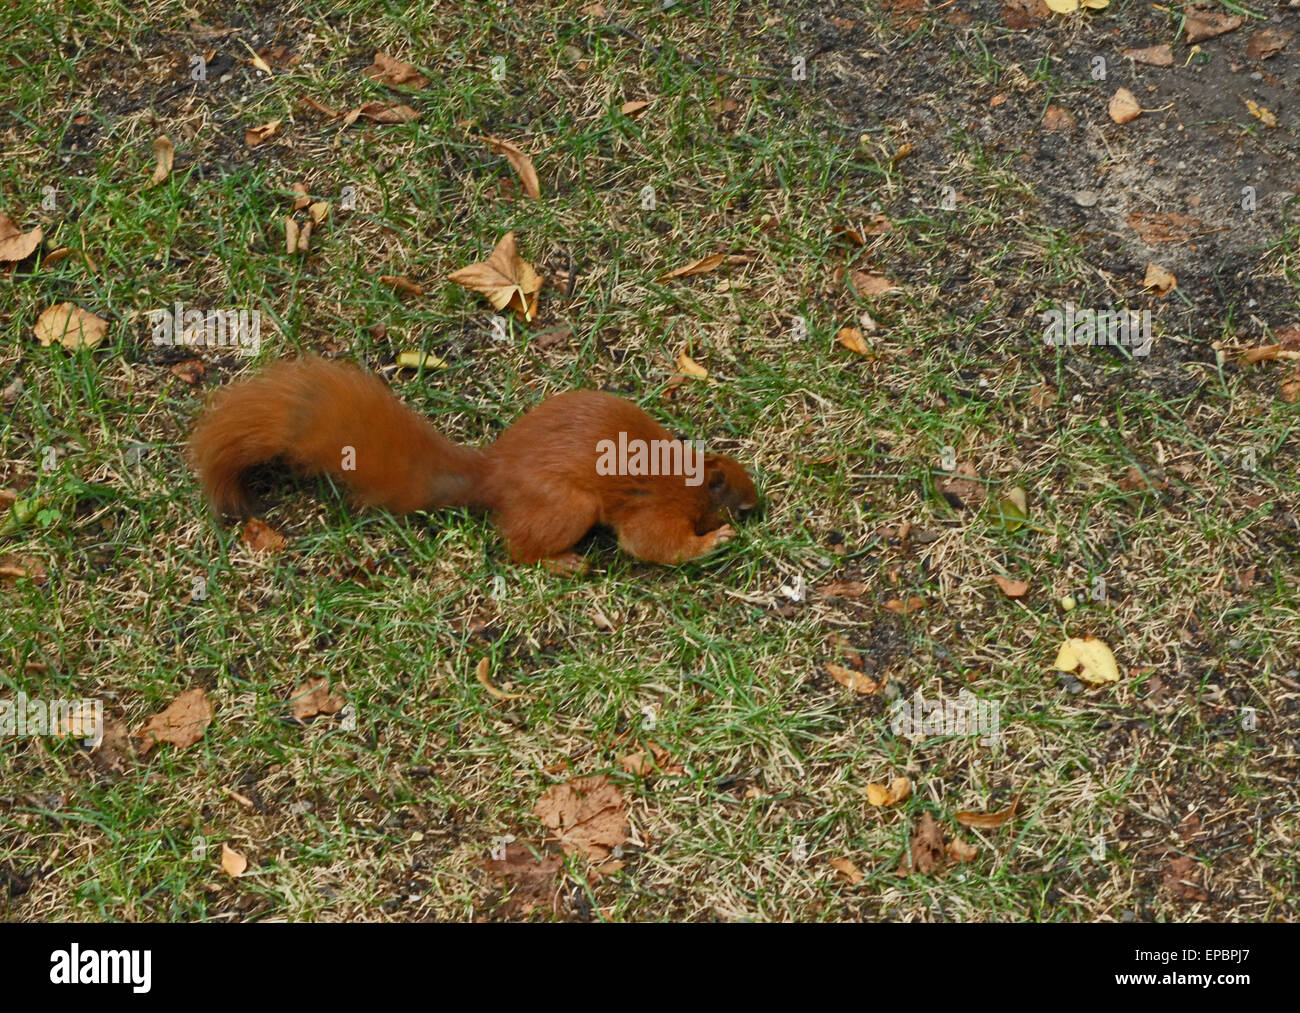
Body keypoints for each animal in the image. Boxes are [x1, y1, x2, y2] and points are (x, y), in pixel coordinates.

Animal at [192, 353, 759, 569]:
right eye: (740, 502)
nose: (758, 506)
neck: (687, 478)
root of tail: (495, 476)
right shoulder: (656, 508)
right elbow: (651, 545)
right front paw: (715, 540)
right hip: (566, 507)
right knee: (517, 546)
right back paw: (565, 562)